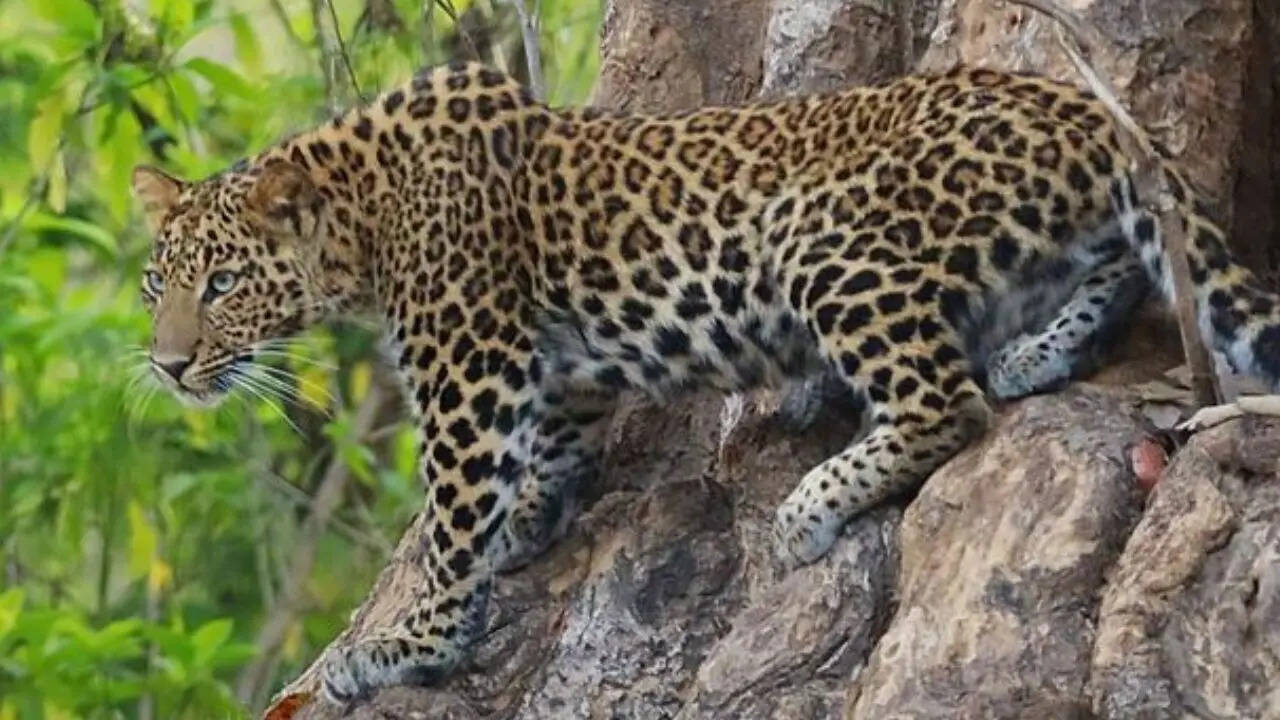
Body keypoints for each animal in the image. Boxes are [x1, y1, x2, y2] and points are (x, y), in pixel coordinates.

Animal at [131, 60, 1280, 705]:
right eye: (154, 284)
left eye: (222, 283)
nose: (167, 364)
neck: (360, 217)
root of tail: (1084, 108)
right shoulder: (554, 366)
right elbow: (553, 446)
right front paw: (530, 522)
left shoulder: (469, 369)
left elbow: (453, 513)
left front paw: (409, 644)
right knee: (1119, 268)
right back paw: (1038, 351)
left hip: (824, 239)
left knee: (942, 400)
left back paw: (814, 505)